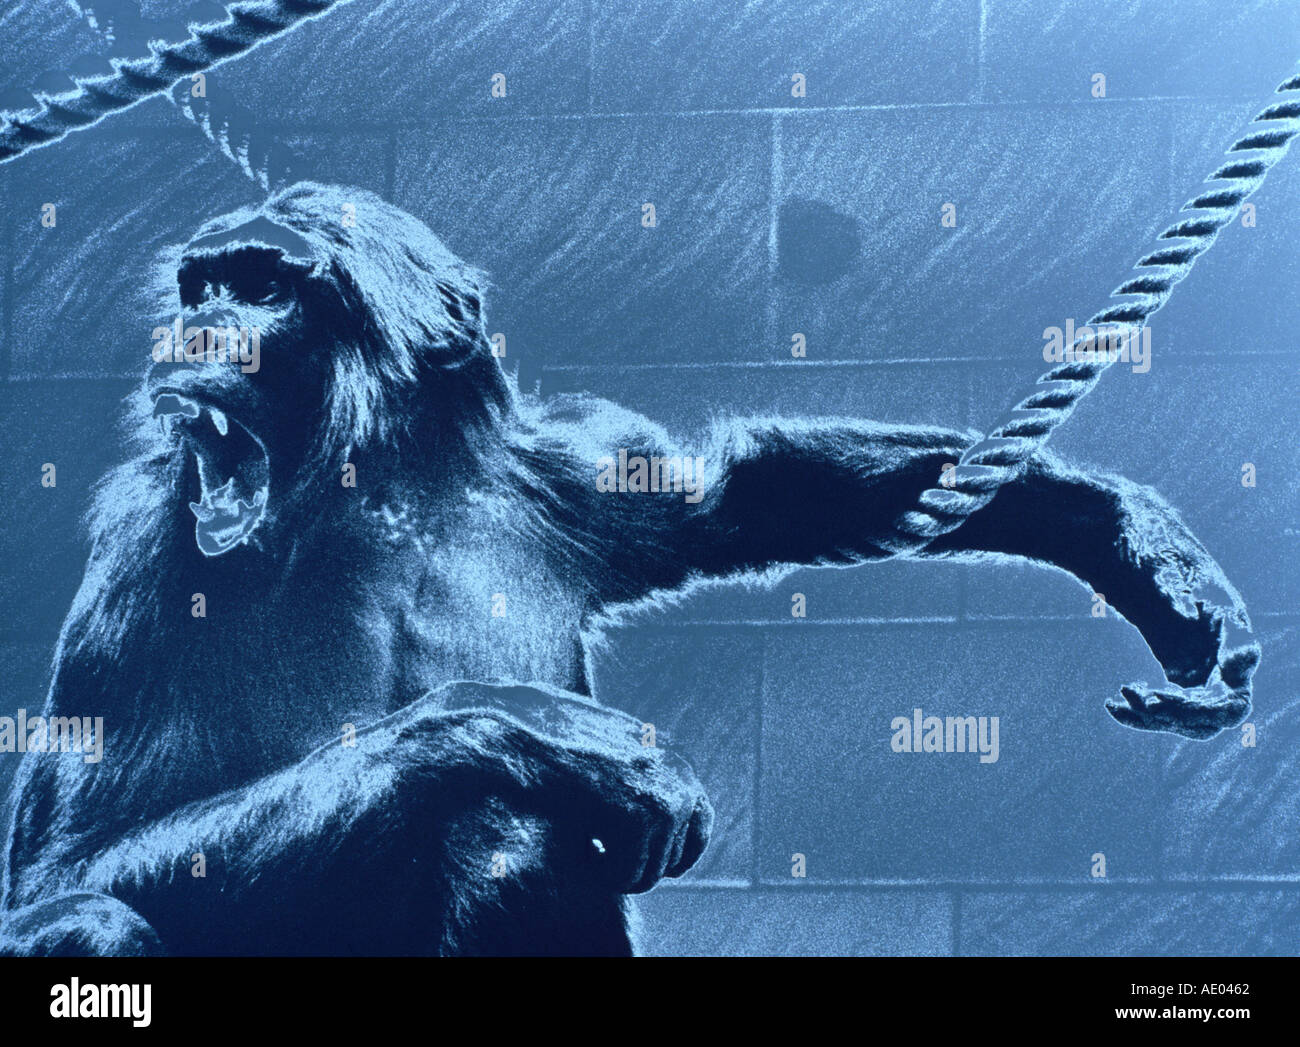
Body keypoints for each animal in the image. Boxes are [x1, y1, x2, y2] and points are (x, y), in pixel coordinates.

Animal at [0, 182, 1259, 956]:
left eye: (265, 284)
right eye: (202, 283)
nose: (199, 326)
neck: (382, 489)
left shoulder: (578, 467)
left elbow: (728, 492)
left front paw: (1132, 540)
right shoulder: (138, 561)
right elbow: (65, 861)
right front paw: (529, 730)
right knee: (100, 920)